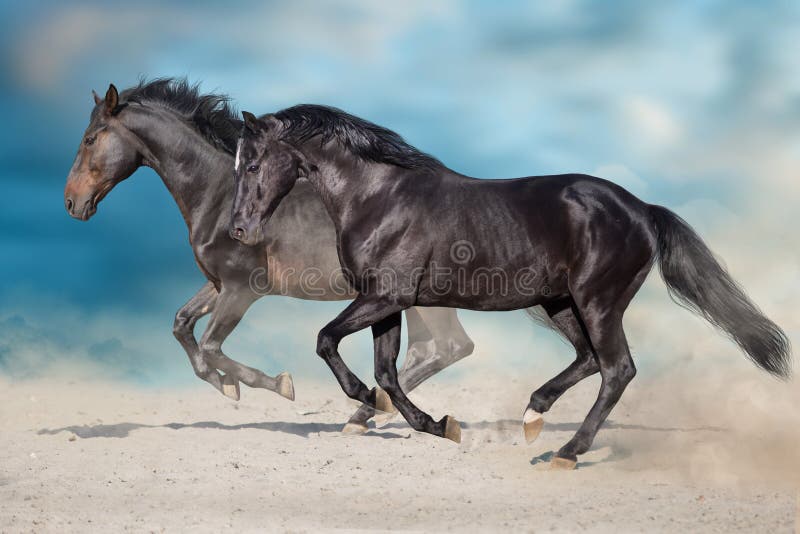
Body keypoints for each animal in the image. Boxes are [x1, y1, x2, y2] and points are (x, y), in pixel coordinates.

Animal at [63, 79, 478, 433]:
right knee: (434, 351)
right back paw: (368, 415)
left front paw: (275, 383)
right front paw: (225, 384)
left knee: (448, 347)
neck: (219, 196)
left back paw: (370, 413)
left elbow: (211, 345)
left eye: (89, 139)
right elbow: (183, 325)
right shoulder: (219, 284)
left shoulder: (242, 289)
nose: (71, 202)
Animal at [230, 106, 791, 468]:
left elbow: (328, 341)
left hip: (597, 301)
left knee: (617, 369)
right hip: (561, 302)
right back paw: (532, 417)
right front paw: (438, 424)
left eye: (253, 164)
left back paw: (566, 453)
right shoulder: (385, 302)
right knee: (589, 360)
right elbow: (387, 372)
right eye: (238, 166)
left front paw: (373, 405)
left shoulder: (385, 296)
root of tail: (642, 210)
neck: (379, 197)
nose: (238, 228)